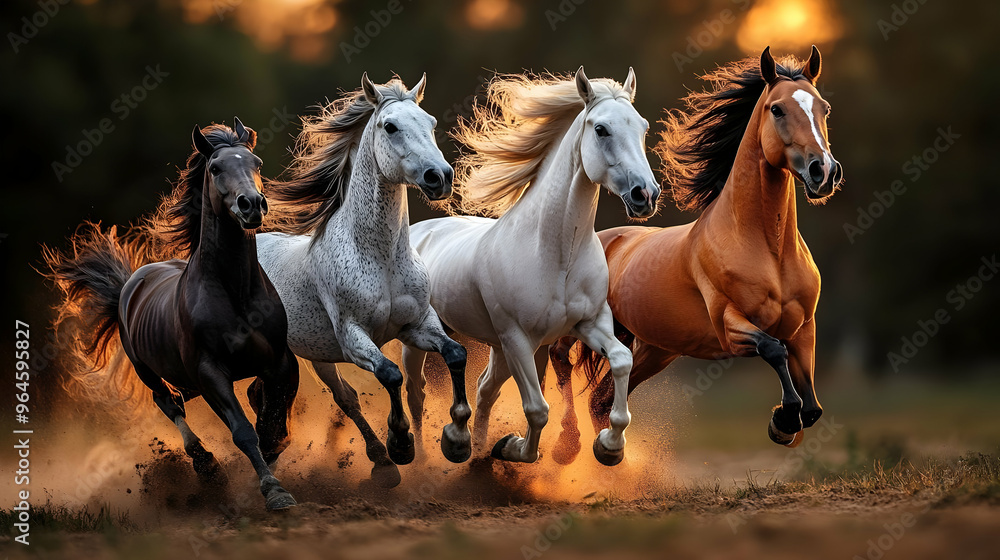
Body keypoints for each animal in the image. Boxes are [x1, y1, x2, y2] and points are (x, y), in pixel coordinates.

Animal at [43, 120, 301, 511]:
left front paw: (274, 456)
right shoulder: (210, 373)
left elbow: (274, 419)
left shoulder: (279, 361)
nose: (252, 204)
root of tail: (129, 284)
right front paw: (274, 491)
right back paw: (206, 465)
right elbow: (244, 432)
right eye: (215, 168)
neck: (236, 293)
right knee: (168, 403)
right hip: (147, 370)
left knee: (187, 399)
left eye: (255, 163)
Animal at [256, 74, 469, 488]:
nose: (440, 177)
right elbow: (390, 374)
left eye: (431, 122)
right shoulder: (353, 336)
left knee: (340, 397)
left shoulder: (417, 325)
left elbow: (455, 354)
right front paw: (401, 445)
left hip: (314, 354)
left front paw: (457, 441)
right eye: (390, 126)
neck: (381, 259)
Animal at [400, 68, 660, 466]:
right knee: (417, 392)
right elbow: (537, 410)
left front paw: (609, 446)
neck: (557, 255)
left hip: (496, 347)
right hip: (426, 338)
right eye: (601, 129)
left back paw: (475, 450)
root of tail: (418, 231)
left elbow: (621, 360)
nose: (645, 195)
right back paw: (435, 453)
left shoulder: (589, 324)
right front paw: (510, 447)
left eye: (643, 127)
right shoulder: (518, 338)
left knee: (484, 389)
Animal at [549, 46, 844, 464]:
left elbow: (813, 405)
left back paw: (607, 449)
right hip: (581, 328)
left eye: (824, 108)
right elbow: (774, 351)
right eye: (777, 109)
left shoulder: (803, 328)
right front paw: (783, 421)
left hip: (655, 350)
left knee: (601, 398)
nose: (824, 172)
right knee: (560, 361)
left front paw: (788, 423)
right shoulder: (730, 326)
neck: (768, 250)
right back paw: (567, 445)